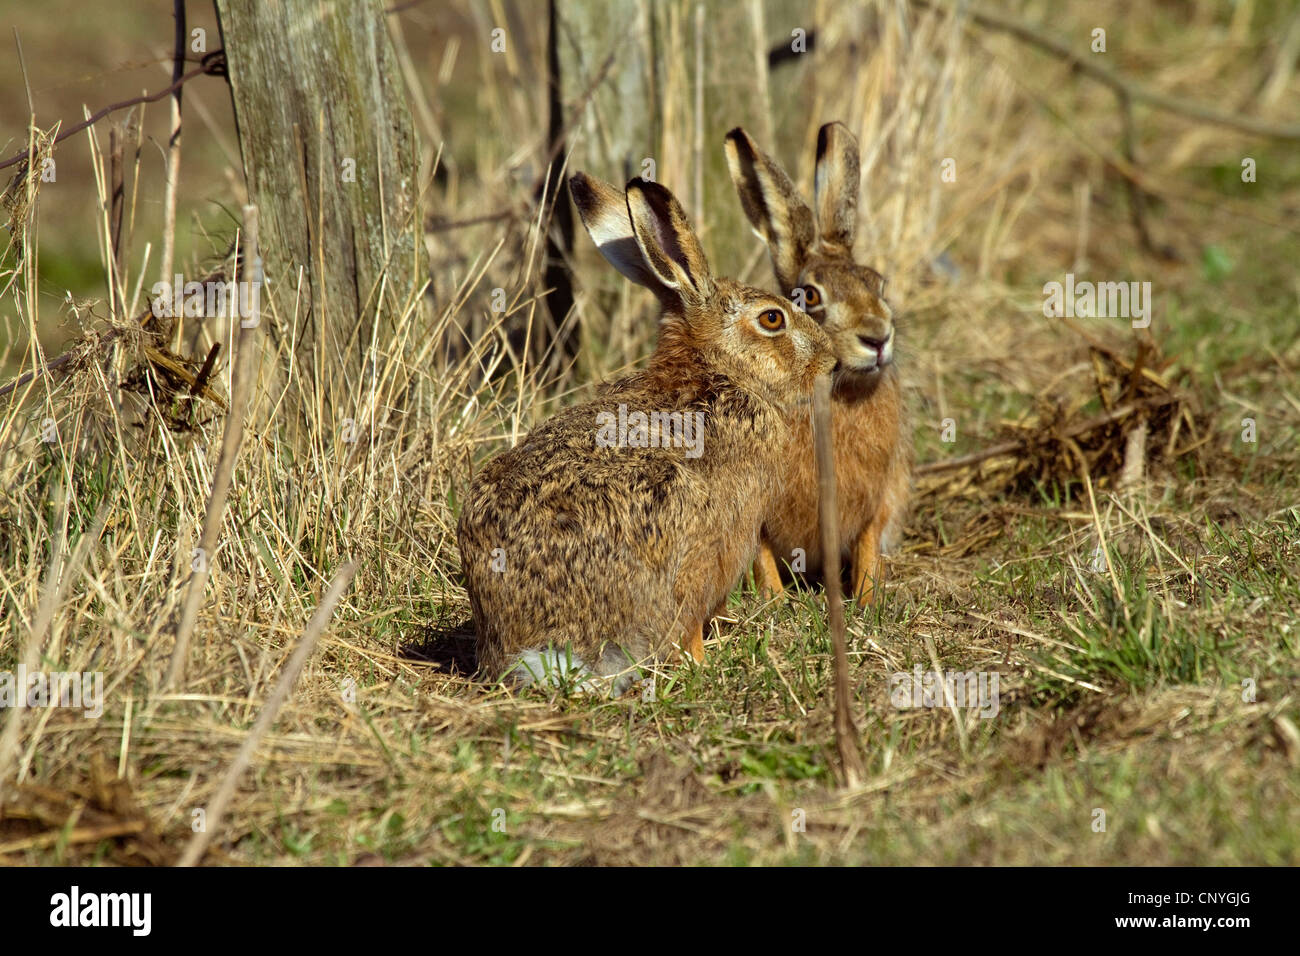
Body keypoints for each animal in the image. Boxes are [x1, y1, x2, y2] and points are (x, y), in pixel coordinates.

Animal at [724, 122, 911, 603]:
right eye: (809, 296)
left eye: (878, 284)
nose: (877, 337)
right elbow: (759, 552)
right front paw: (773, 604)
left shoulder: (878, 498)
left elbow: (867, 543)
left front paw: (867, 598)